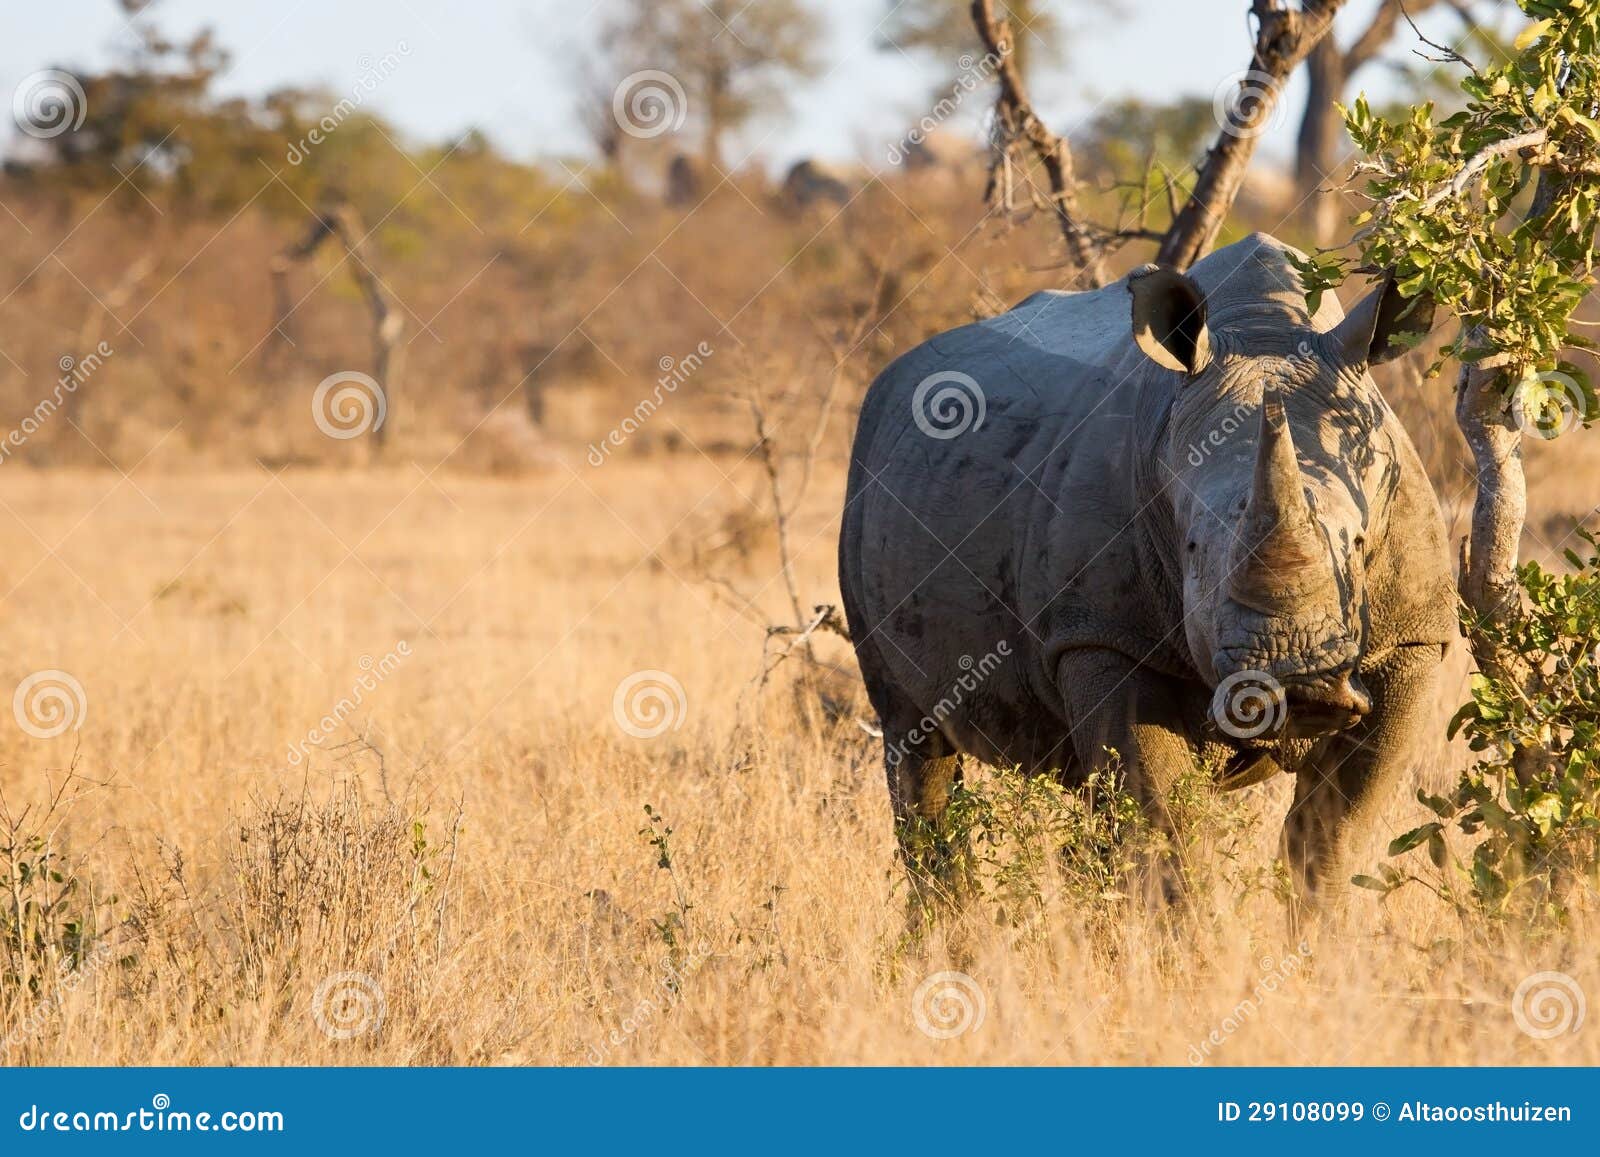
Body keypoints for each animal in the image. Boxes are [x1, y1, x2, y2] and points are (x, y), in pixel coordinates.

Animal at [838, 233, 1455, 901]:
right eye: (1193, 550)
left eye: (1362, 545)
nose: (1296, 686)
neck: (1262, 328)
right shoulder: (1103, 634)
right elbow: (1164, 825)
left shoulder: (1413, 635)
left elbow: (1332, 831)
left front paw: (1321, 928)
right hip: (865, 479)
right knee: (915, 740)